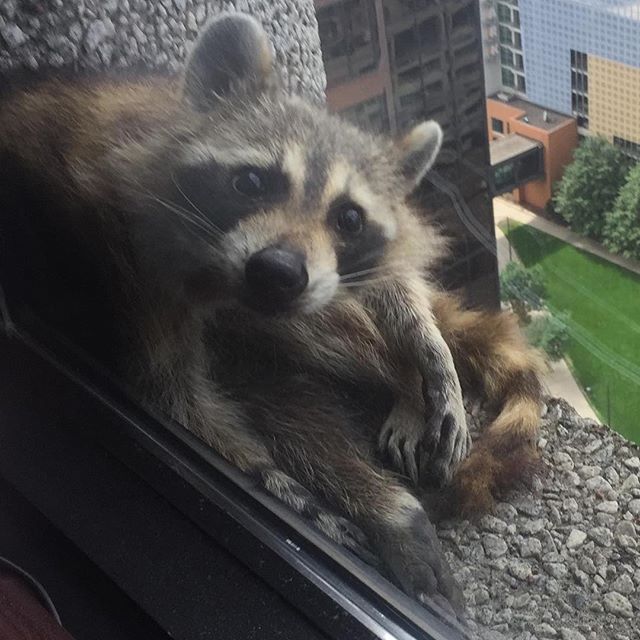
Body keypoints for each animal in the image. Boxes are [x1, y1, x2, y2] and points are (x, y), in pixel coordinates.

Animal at [0, 13, 544, 615]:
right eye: (252, 182)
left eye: (349, 218)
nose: (278, 272)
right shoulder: (133, 262)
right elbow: (176, 396)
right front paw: (281, 482)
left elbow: (379, 282)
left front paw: (423, 350)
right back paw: (386, 498)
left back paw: (399, 390)